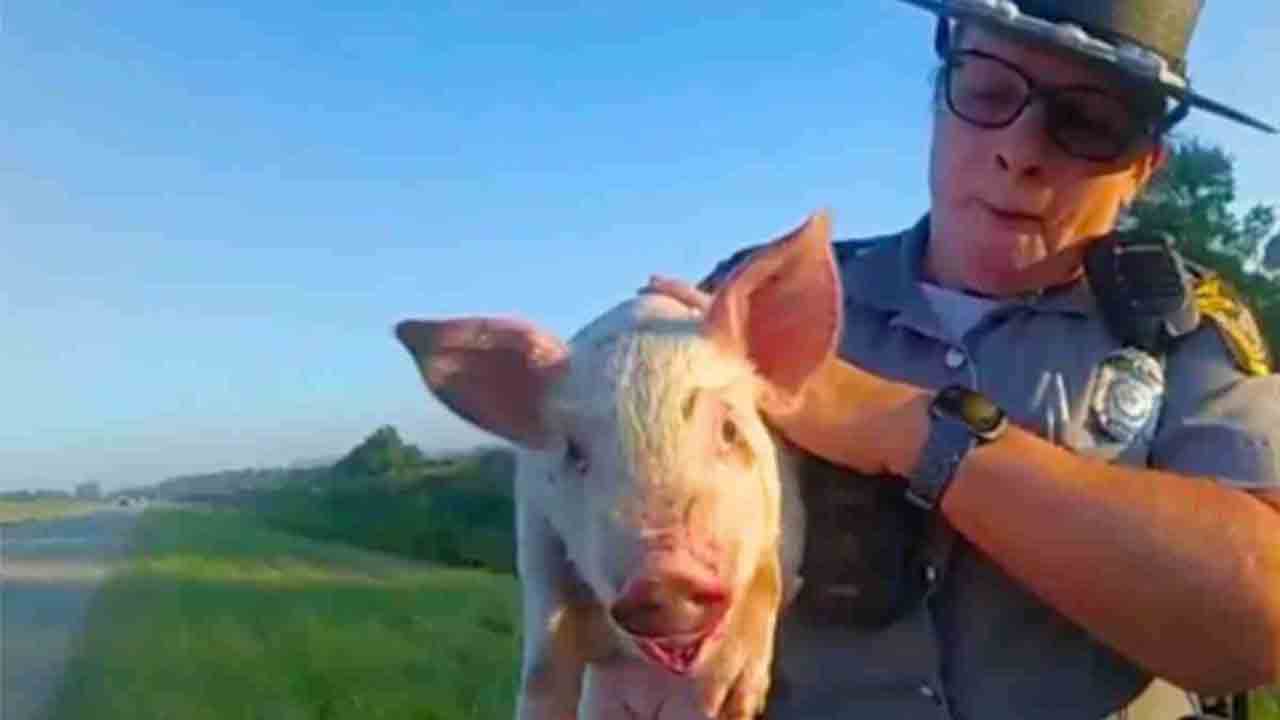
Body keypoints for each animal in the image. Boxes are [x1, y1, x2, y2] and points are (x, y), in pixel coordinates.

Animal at [395, 212, 843, 719]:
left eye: (730, 429)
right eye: (574, 452)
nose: (665, 576)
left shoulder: (788, 508)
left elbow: (768, 580)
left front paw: (733, 699)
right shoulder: (533, 519)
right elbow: (545, 657)